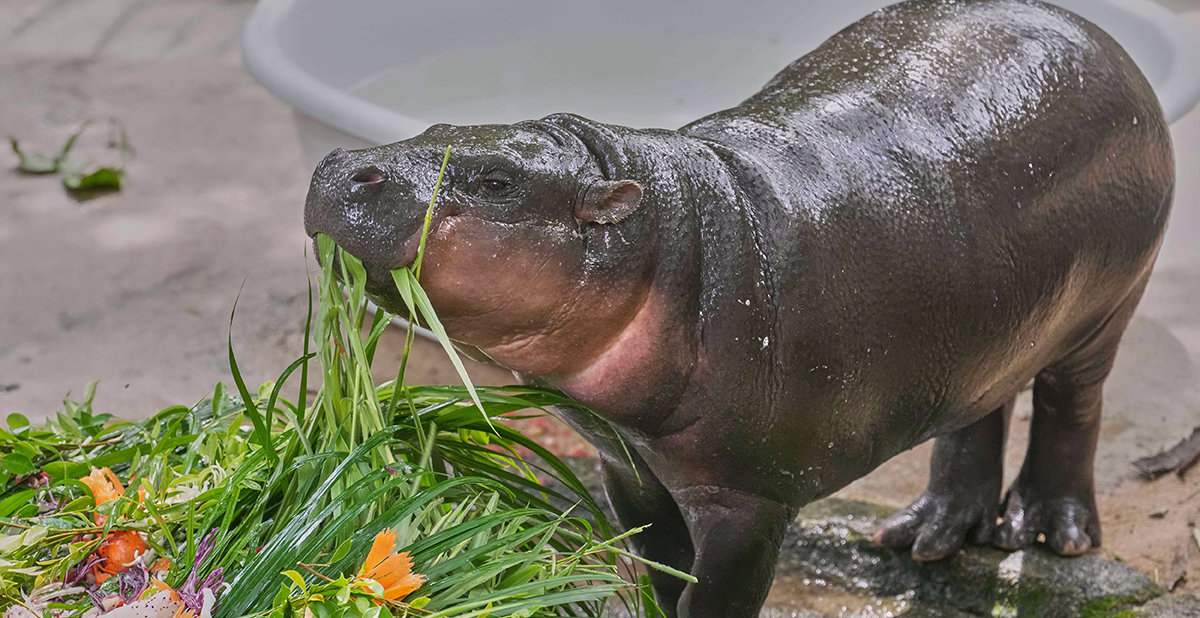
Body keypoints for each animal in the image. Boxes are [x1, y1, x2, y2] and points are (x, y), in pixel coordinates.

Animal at [303, 0, 1174, 616]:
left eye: (496, 180)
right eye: (437, 124)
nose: (341, 164)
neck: (670, 239)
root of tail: (1096, 32)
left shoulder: (748, 499)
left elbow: (714, 594)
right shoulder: (627, 465)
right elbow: (659, 567)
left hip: (1106, 311)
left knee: (1070, 406)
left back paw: (1049, 532)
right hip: (991, 325)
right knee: (979, 410)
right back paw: (923, 538)